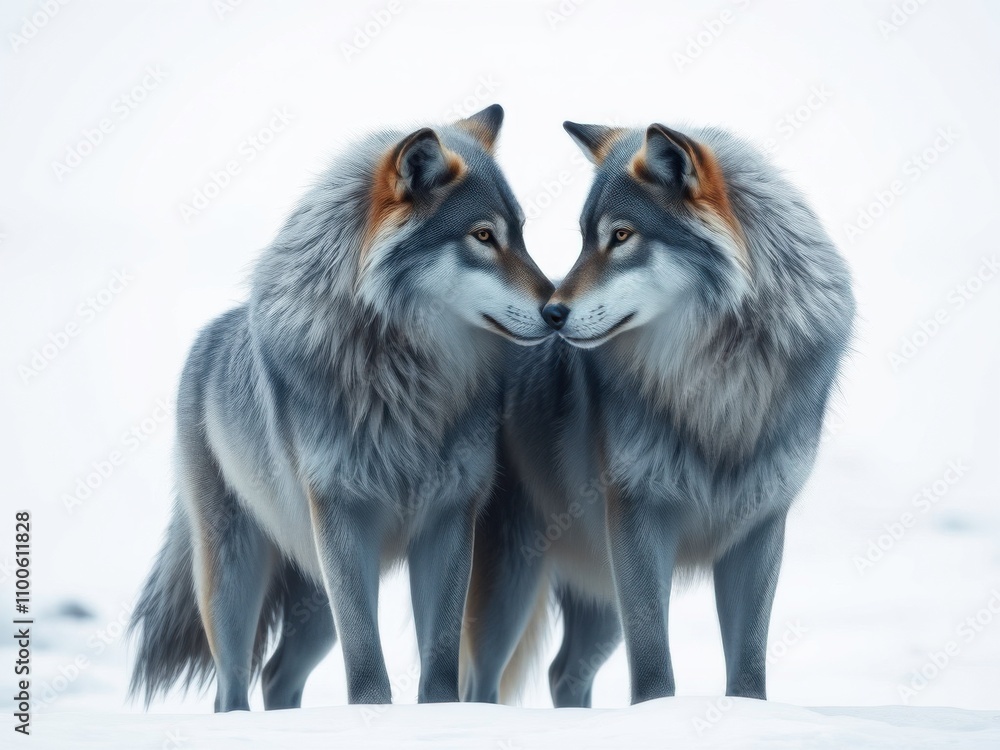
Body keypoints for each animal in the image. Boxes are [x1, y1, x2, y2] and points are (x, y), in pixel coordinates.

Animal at [128, 105, 554, 712]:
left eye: (519, 235)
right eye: (482, 236)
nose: (559, 309)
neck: (407, 378)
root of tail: (207, 340)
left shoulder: (449, 521)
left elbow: (441, 660)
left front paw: (442, 716)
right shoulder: (342, 520)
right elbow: (366, 661)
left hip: (314, 594)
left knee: (275, 674)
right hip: (239, 577)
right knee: (231, 685)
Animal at [462, 121, 855, 706]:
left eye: (622, 236)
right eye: (585, 237)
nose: (551, 313)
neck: (717, 385)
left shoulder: (759, 530)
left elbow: (748, 667)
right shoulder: (636, 518)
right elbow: (653, 662)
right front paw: (655, 713)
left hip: (596, 589)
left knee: (563, 671)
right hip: (513, 582)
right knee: (480, 683)